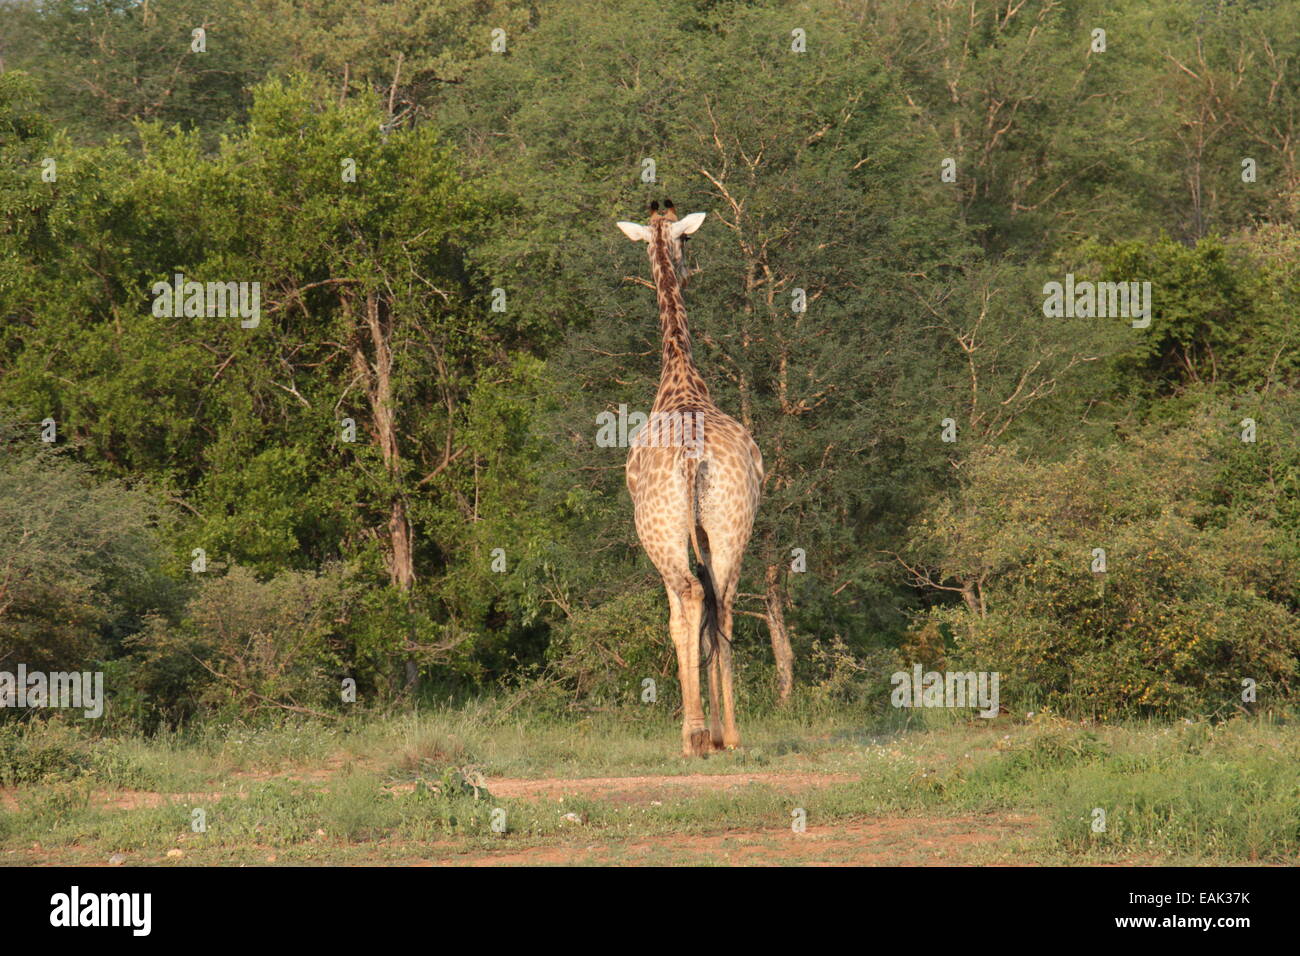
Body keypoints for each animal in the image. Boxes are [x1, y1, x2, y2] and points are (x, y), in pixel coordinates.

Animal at [617, 199, 764, 757]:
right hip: (731, 524)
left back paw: (696, 733)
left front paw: (695, 729)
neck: (681, 378)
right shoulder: (702, 529)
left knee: (691, 601)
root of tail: (692, 457)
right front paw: (721, 729)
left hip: (656, 532)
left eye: (684, 241)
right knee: (725, 601)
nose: (685, 269)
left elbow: (678, 620)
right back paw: (732, 733)